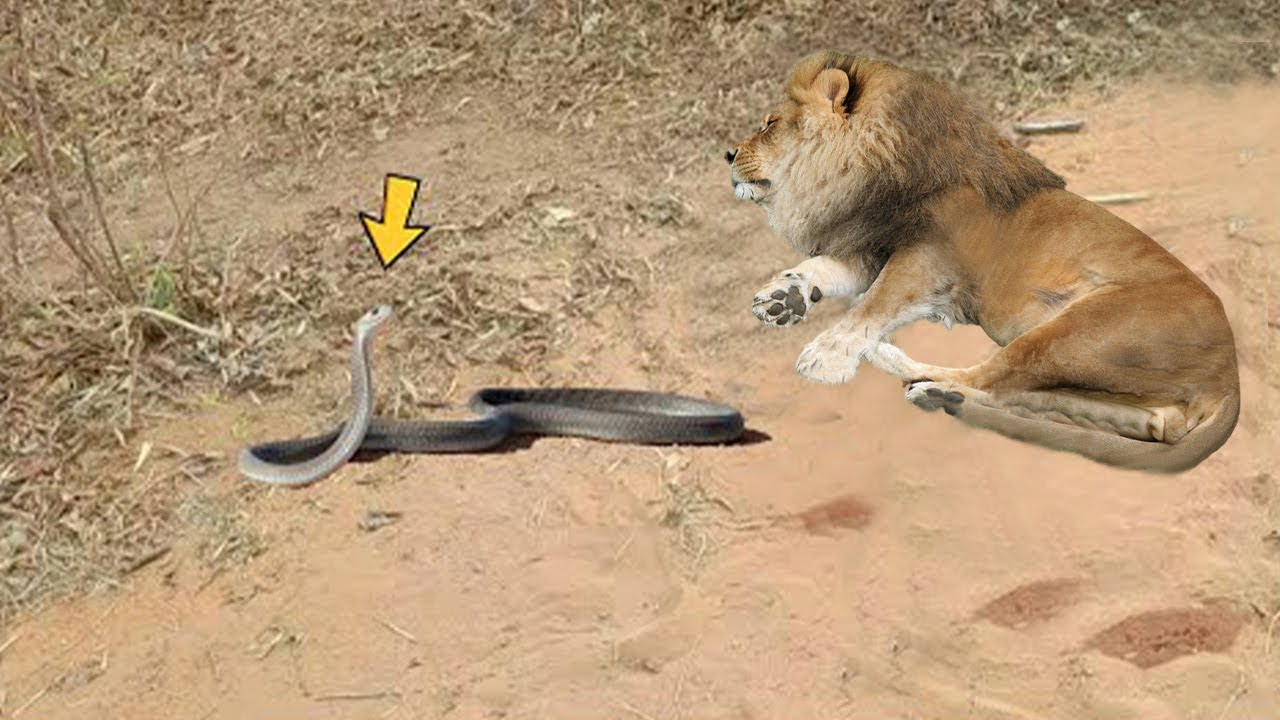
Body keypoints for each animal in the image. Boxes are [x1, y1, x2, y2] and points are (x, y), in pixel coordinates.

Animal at [727, 51, 1240, 473]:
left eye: (770, 124)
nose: (728, 153)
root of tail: (1231, 373)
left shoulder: (929, 257)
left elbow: (874, 304)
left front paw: (827, 355)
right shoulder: (875, 243)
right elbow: (826, 268)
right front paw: (783, 297)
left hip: (1074, 333)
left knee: (995, 381)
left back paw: (926, 383)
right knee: (1064, 406)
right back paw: (926, 383)